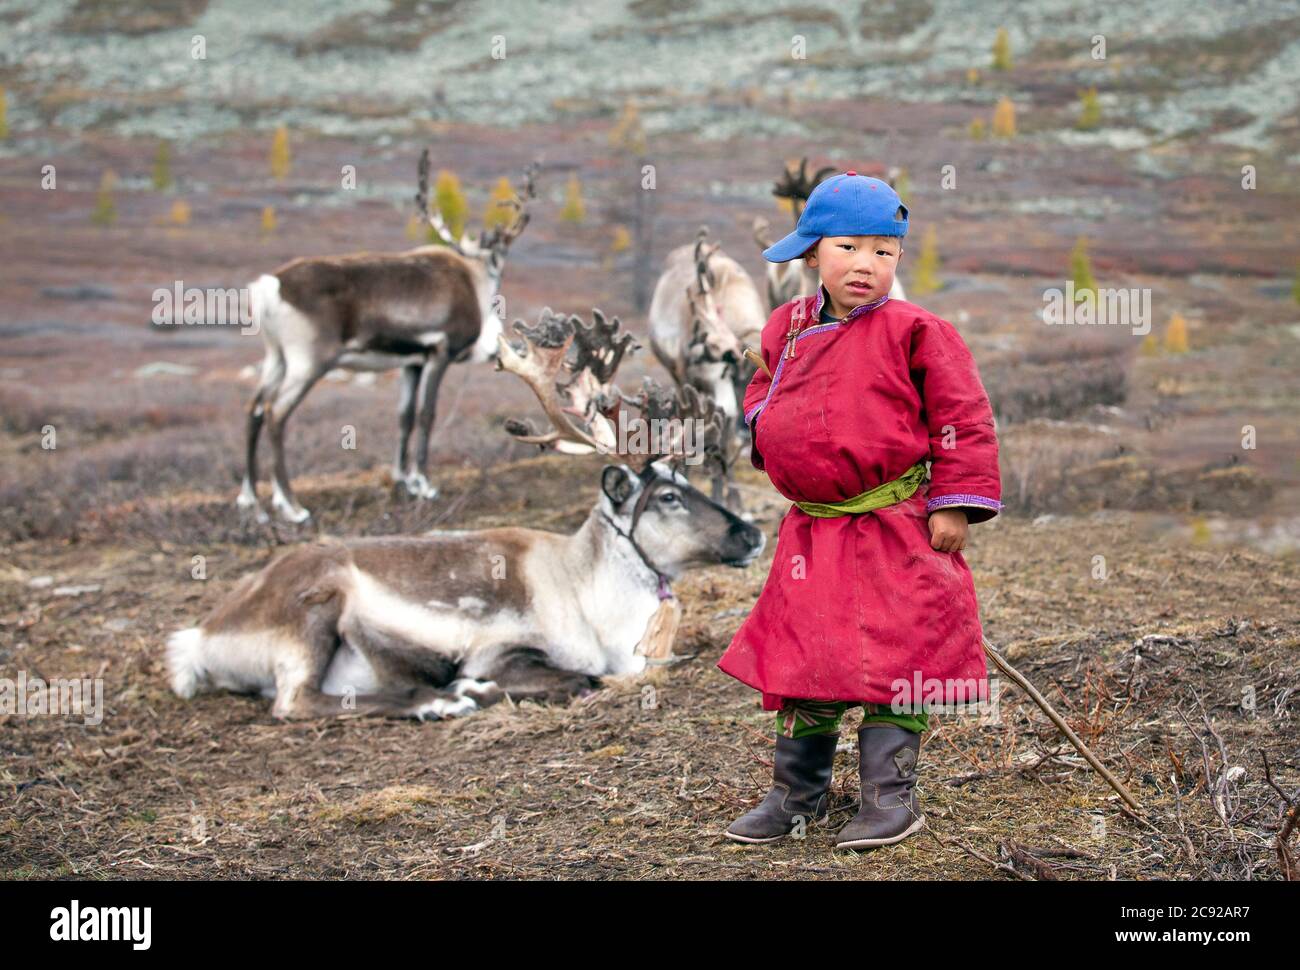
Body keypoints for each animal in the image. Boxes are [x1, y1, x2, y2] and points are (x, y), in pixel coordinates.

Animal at [167, 307, 766, 721]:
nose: (753, 534)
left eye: (686, 483)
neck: (589, 588)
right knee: (296, 700)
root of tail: (201, 634)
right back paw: (436, 701)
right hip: (313, 613)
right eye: (667, 497)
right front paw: (469, 688)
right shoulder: (498, 651)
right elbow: (579, 680)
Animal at [236, 149, 539, 524]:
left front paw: (401, 479)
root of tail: (270, 285)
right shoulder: (440, 352)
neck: (474, 279)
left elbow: (404, 416)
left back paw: (251, 500)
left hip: (276, 356)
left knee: (254, 409)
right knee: (275, 413)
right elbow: (427, 414)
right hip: (309, 361)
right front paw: (424, 484)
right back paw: (291, 505)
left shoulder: (412, 362)